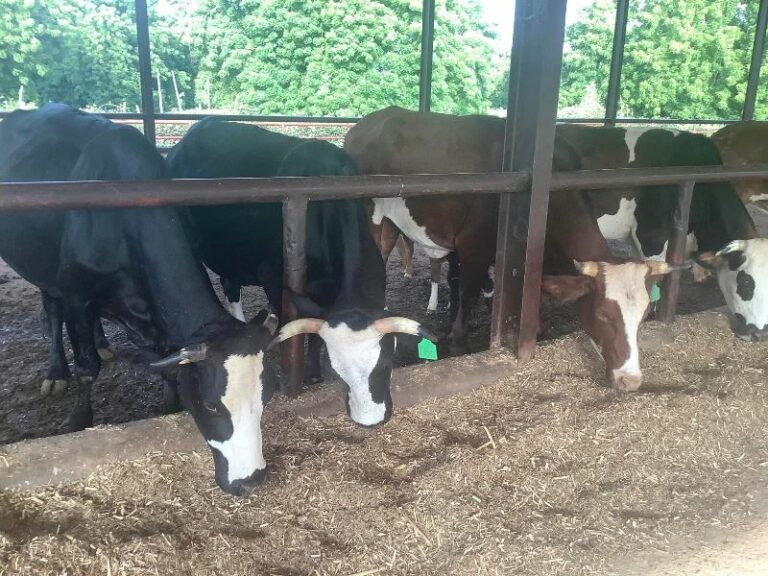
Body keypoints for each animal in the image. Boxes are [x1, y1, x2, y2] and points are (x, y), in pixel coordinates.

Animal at [0, 104, 281, 495]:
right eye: (212, 406)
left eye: (266, 396)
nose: (251, 480)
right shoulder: (77, 295)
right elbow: (86, 367)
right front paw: (79, 420)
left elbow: (165, 359)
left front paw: (169, 404)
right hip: (43, 269)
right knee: (52, 311)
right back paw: (56, 372)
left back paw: (103, 344)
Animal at [345, 106, 685, 392]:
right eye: (604, 313)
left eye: (643, 315)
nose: (631, 379)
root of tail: (367, 123)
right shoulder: (474, 247)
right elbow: (468, 294)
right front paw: (458, 342)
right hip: (371, 217)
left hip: (391, 223)